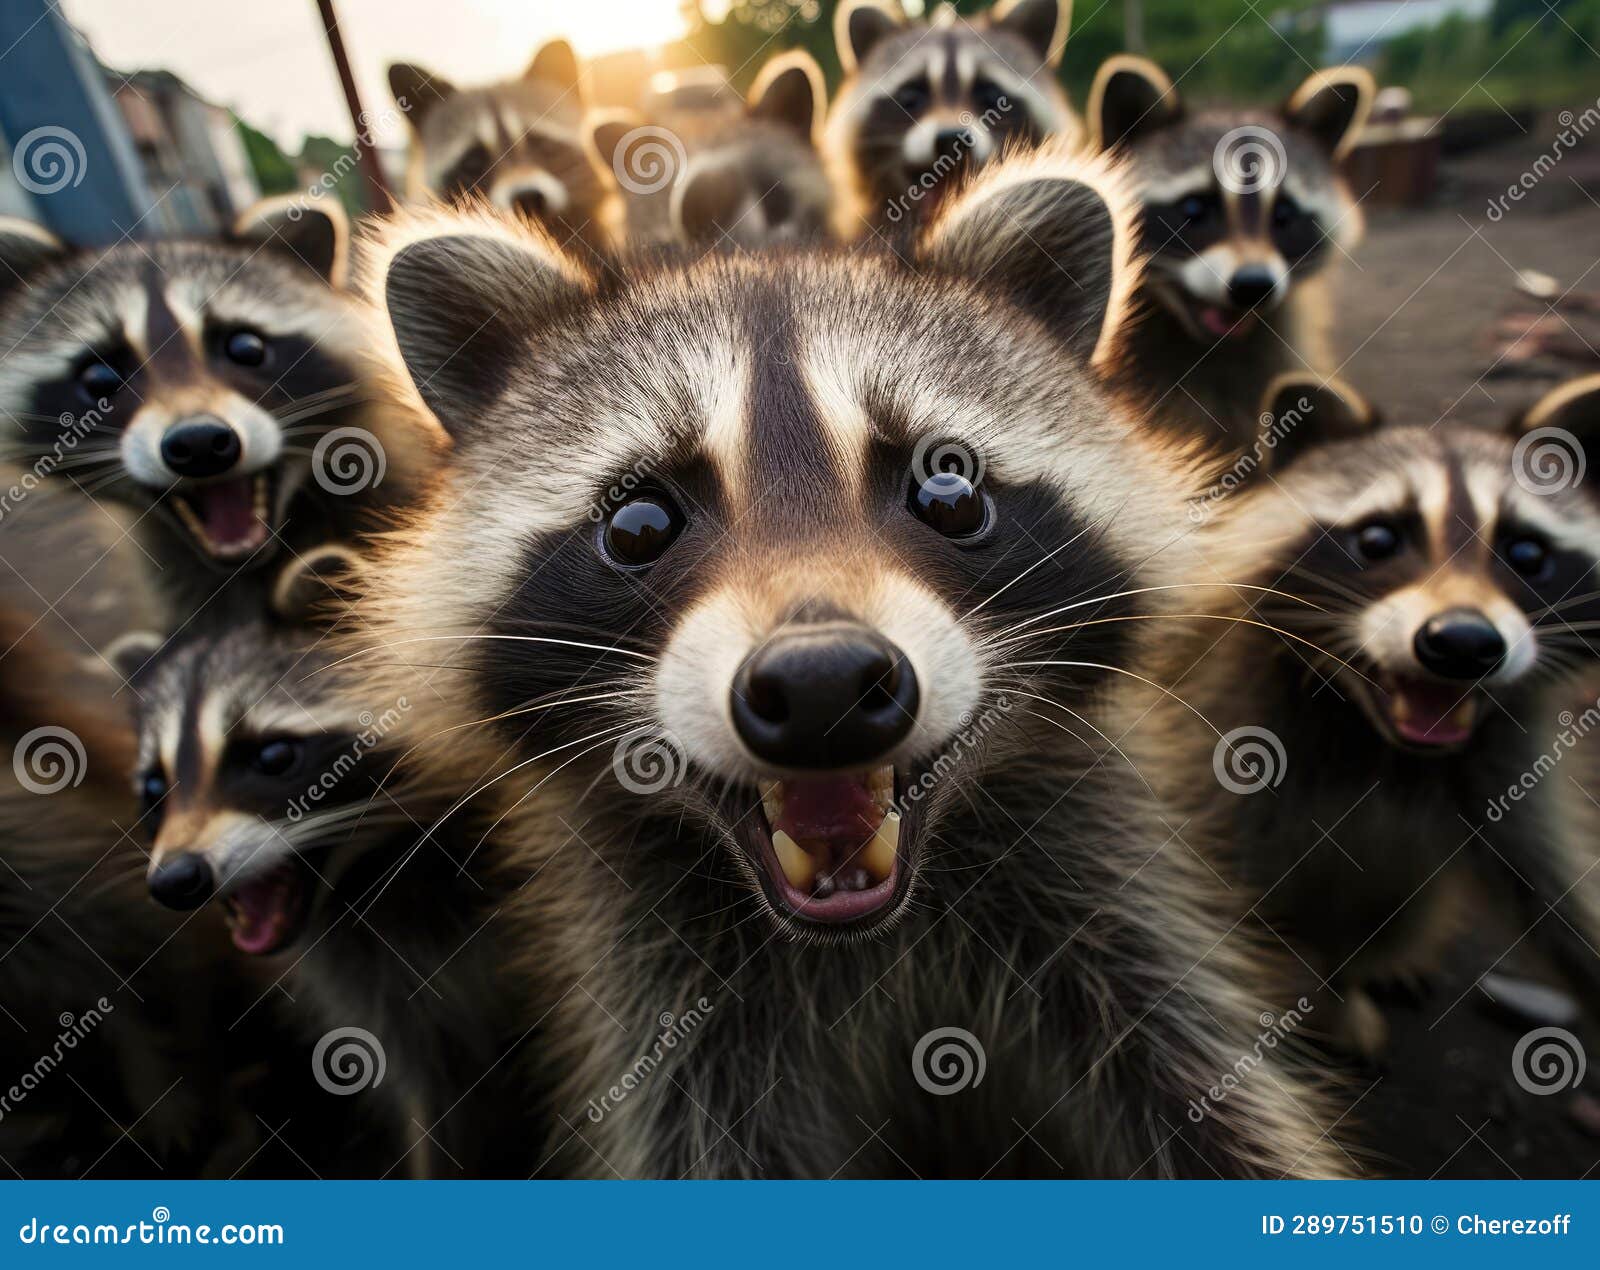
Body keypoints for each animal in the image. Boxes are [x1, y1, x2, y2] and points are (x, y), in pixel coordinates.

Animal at [348, 148, 1351, 1178]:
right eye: (639, 524)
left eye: (949, 490)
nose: (820, 686)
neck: (870, 934)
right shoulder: (669, 1017)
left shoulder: (1108, 914)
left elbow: (1217, 1108)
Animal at [1126, 373, 1600, 1058]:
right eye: (1377, 540)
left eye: (1527, 553)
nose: (1463, 644)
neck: (1374, 736)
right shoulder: (1210, 741)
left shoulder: (1508, 764)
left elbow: (1557, 890)